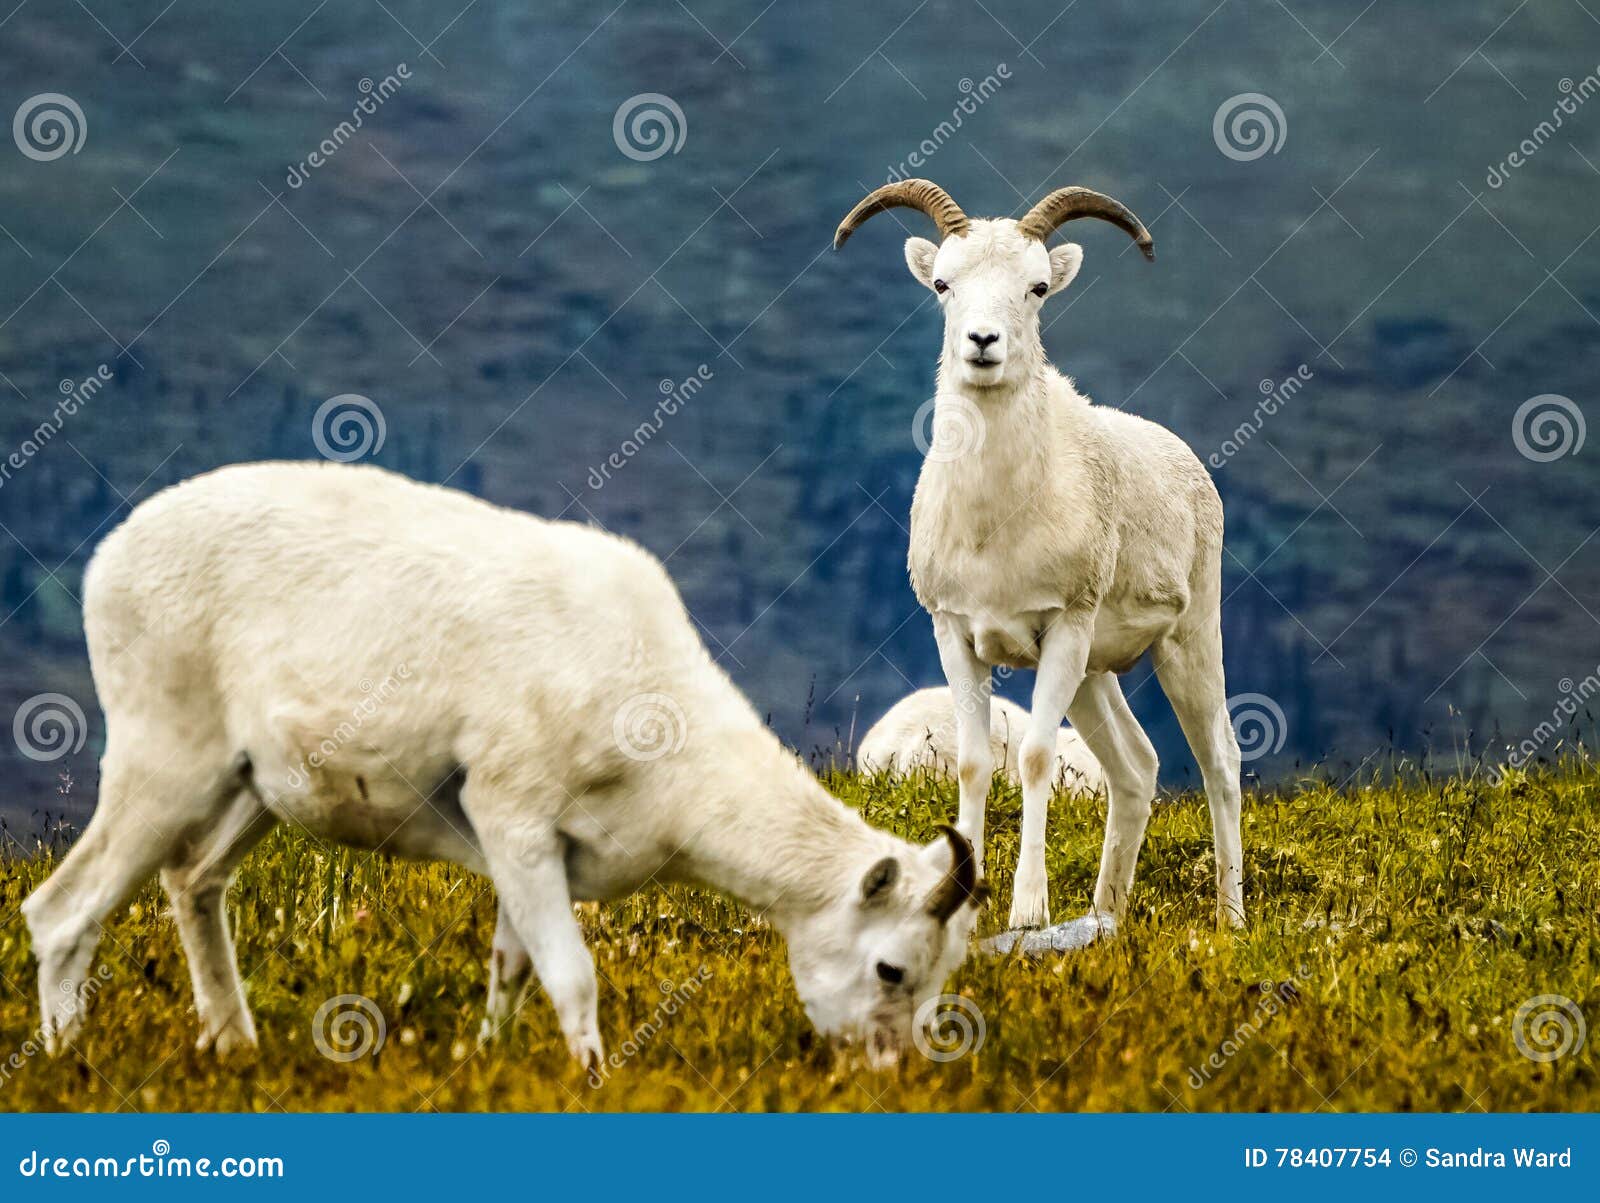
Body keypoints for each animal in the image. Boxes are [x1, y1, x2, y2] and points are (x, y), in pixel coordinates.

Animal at [22, 461, 981, 1069]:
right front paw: (593, 1082)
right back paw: (71, 1061)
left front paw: (487, 1063)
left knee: (192, 882)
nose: (889, 1071)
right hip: (162, 768)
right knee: (61, 912)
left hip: (246, 790)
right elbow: (572, 976)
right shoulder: (514, 821)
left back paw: (237, 1046)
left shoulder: (532, 858)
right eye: (892, 968)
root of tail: (110, 561)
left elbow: (511, 973)